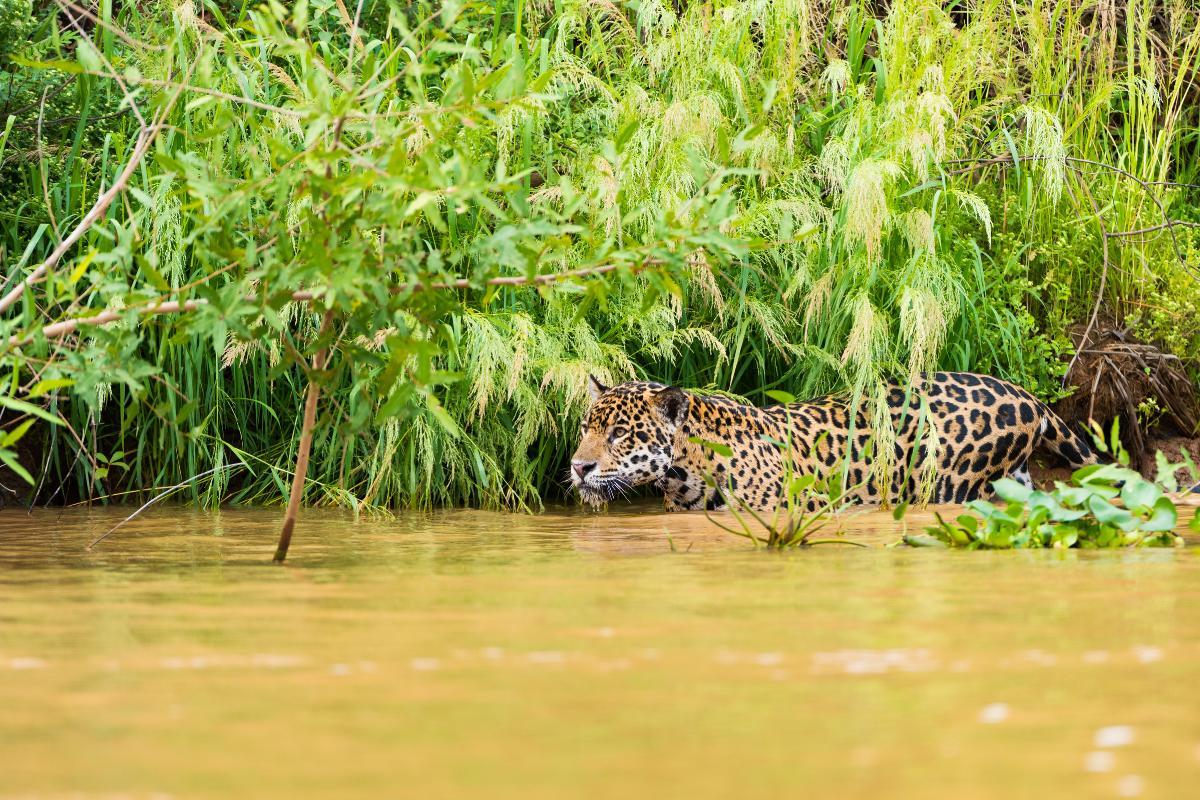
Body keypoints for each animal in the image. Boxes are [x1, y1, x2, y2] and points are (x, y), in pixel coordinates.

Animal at [569, 372, 1098, 511]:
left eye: (619, 434)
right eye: (585, 429)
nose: (578, 467)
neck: (686, 471)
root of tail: (1026, 394)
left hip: (952, 486)